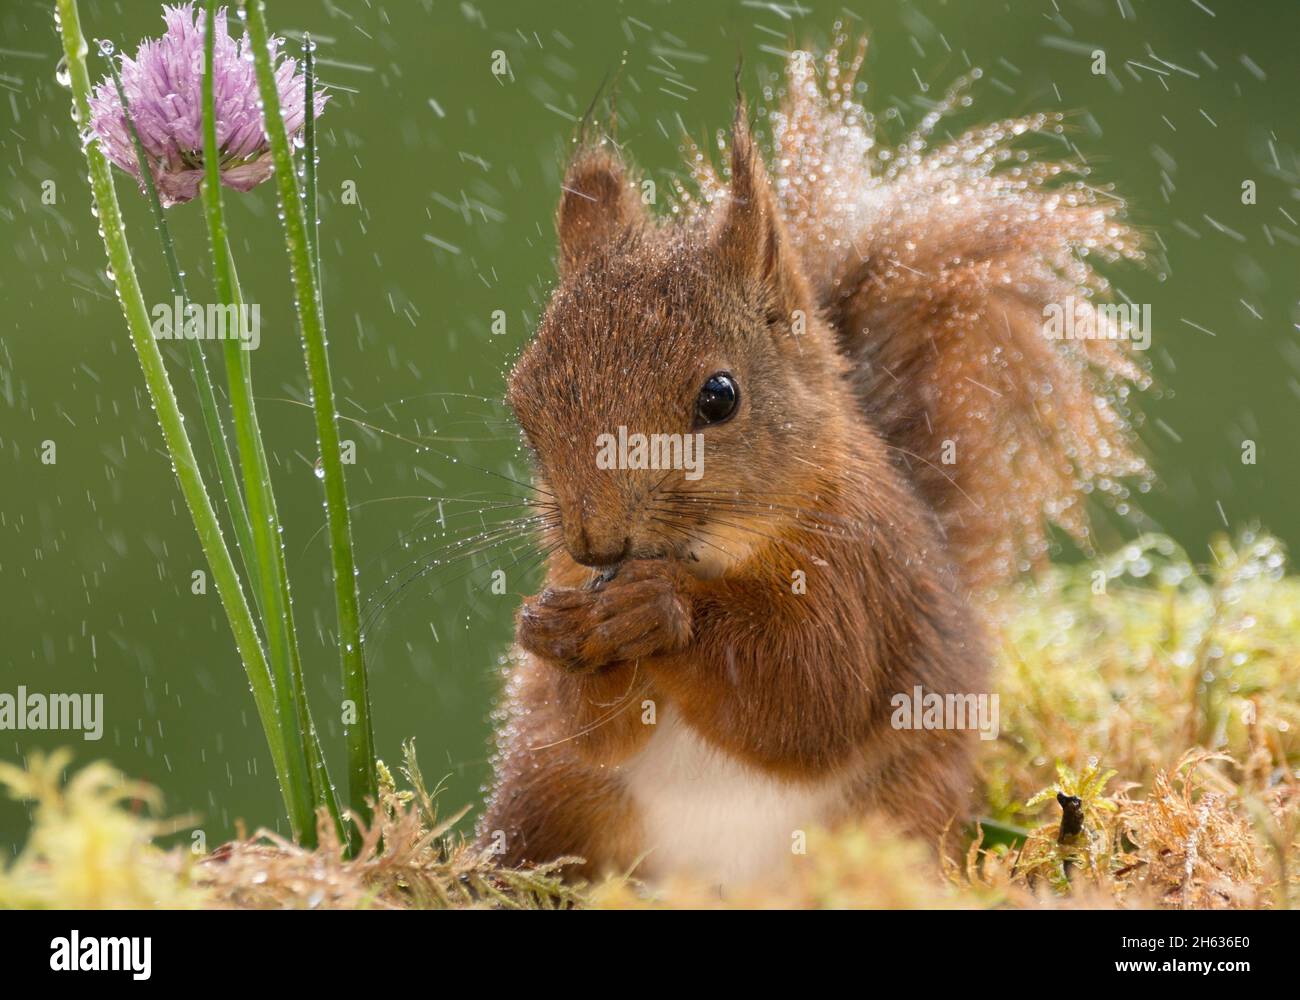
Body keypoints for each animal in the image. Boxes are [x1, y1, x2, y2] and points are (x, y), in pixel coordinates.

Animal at [477, 42, 1147, 887]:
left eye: (720, 396)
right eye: (524, 398)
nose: (598, 545)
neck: (715, 555)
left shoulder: (861, 573)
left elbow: (808, 696)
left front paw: (659, 609)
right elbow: (592, 732)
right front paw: (557, 632)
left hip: (901, 806)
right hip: (545, 792)